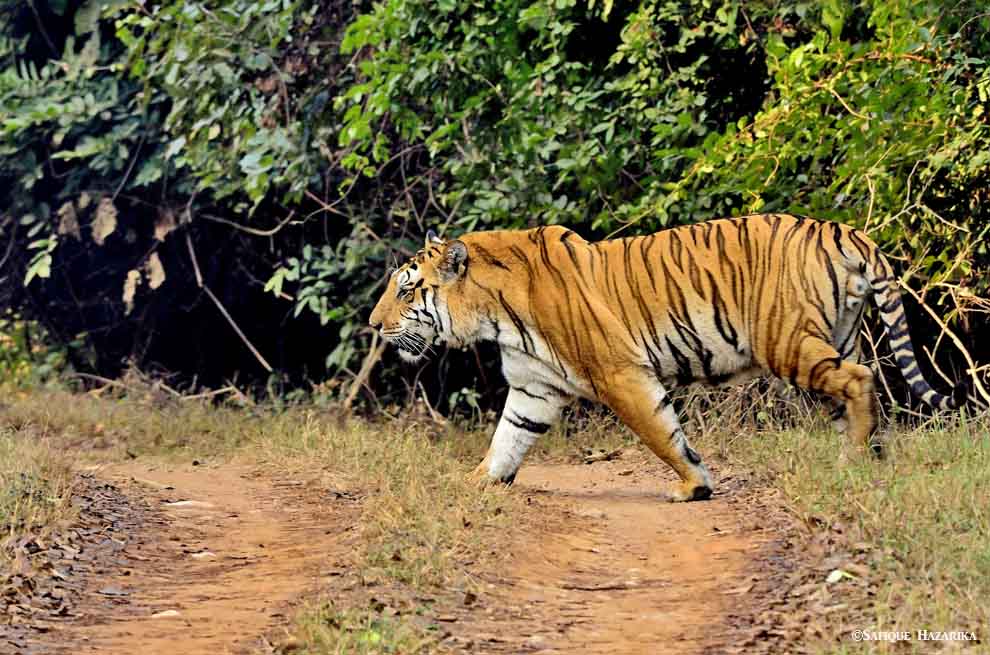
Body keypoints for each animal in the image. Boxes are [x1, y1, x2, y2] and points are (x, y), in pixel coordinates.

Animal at [368, 214, 965, 501]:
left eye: (406, 289)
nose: (373, 325)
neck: (493, 313)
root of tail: (842, 230)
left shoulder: (620, 375)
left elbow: (661, 432)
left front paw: (693, 487)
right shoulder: (534, 387)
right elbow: (507, 440)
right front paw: (476, 482)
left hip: (788, 343)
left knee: (861, 381)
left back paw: (855, 463)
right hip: (834, 338)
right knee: (857, 393)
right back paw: (872, 459)